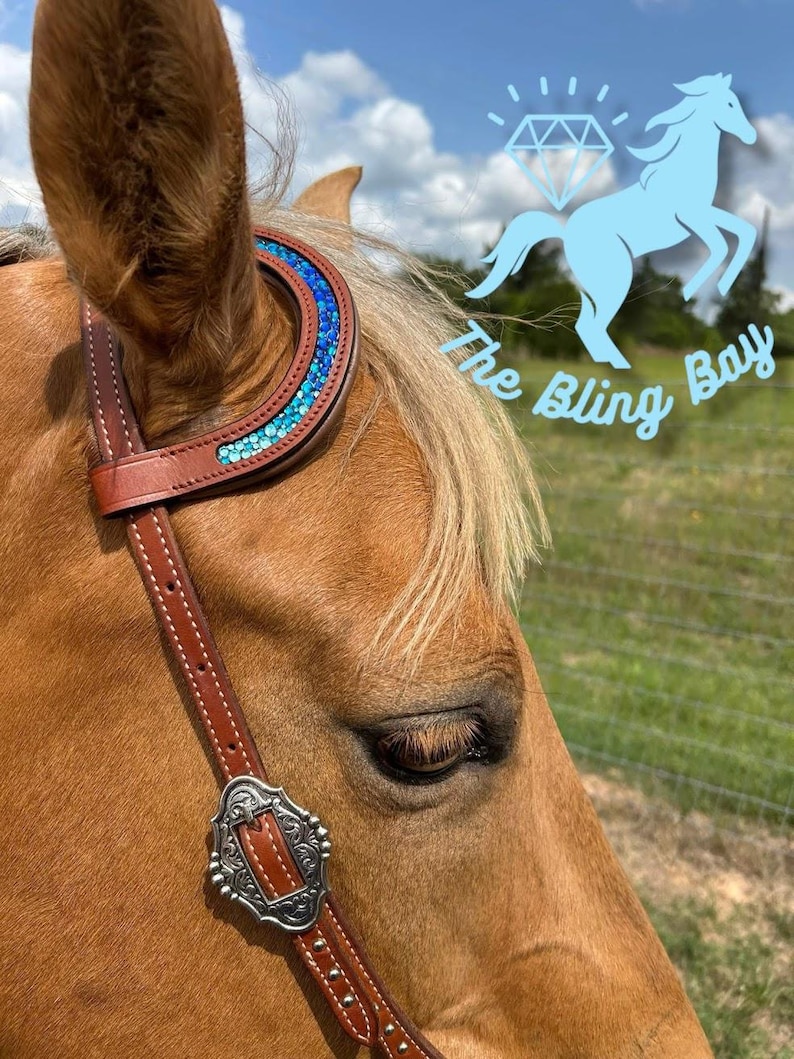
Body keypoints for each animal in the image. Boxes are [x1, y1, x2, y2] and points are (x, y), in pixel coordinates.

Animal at [468, 73, 758, 369]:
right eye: (730, 103)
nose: (752, 136)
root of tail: (566, 233)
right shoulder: (691, 217)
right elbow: (721, 245)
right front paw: (690, 291)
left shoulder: (704, 213)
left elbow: (745, 232)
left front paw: (720, 286)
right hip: (614, 279)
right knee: (591, 326)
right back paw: (618, 363)